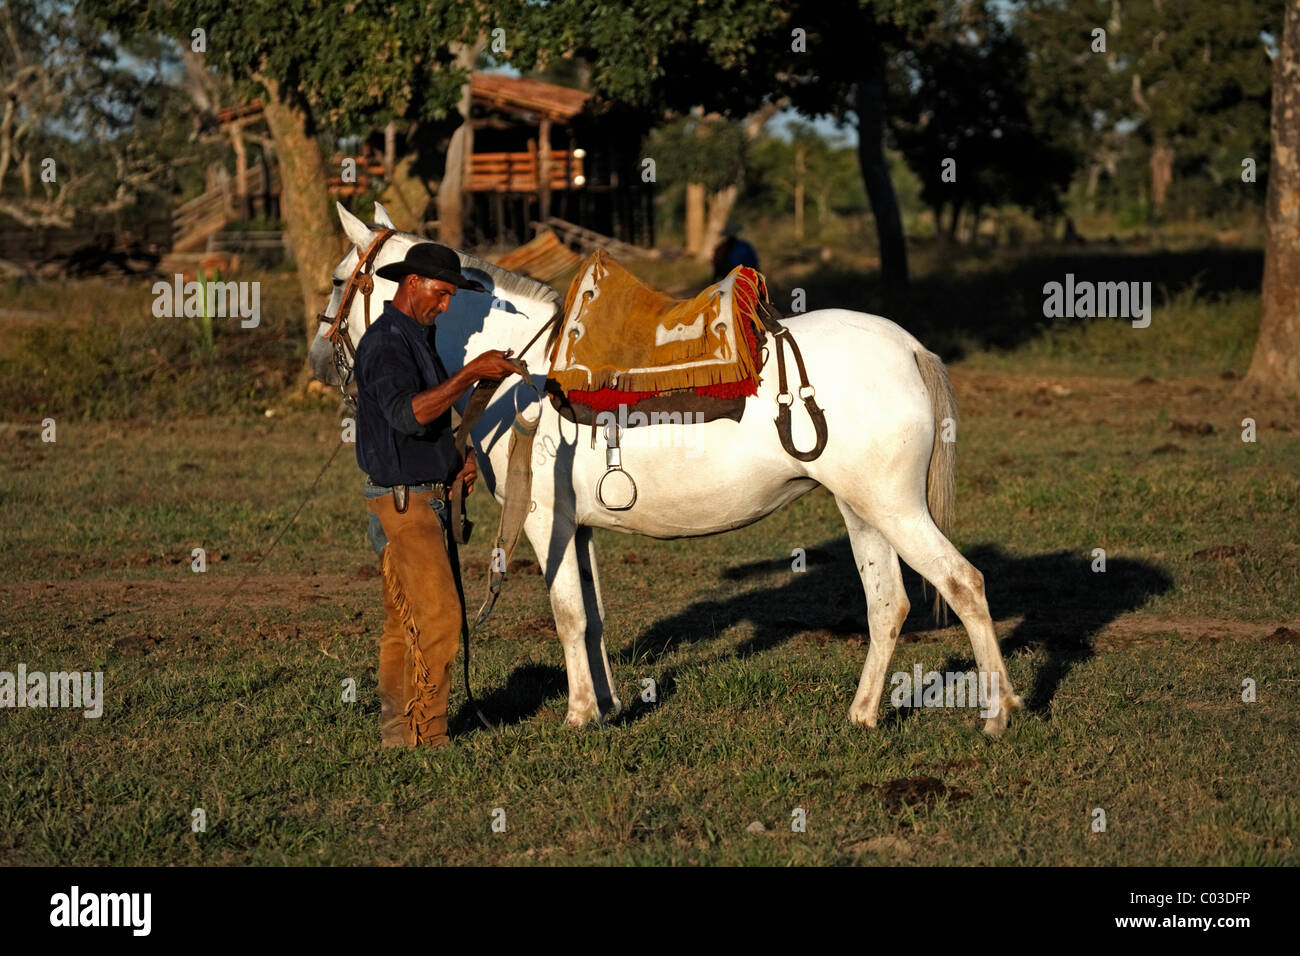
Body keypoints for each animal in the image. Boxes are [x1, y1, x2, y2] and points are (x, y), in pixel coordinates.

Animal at [309, 202, 1023, 735]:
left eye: (341, 277)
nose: (319, 359)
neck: (522, 369)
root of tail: (910, 347)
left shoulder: (542, 522)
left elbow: (566, 613)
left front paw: (577, 717)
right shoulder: (577, 526)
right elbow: (593, 616)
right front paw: (609, 708)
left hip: (895, 508)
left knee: (964, 584)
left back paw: (996, 715)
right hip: (862, 509)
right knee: (888, 605)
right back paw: (864, 715)